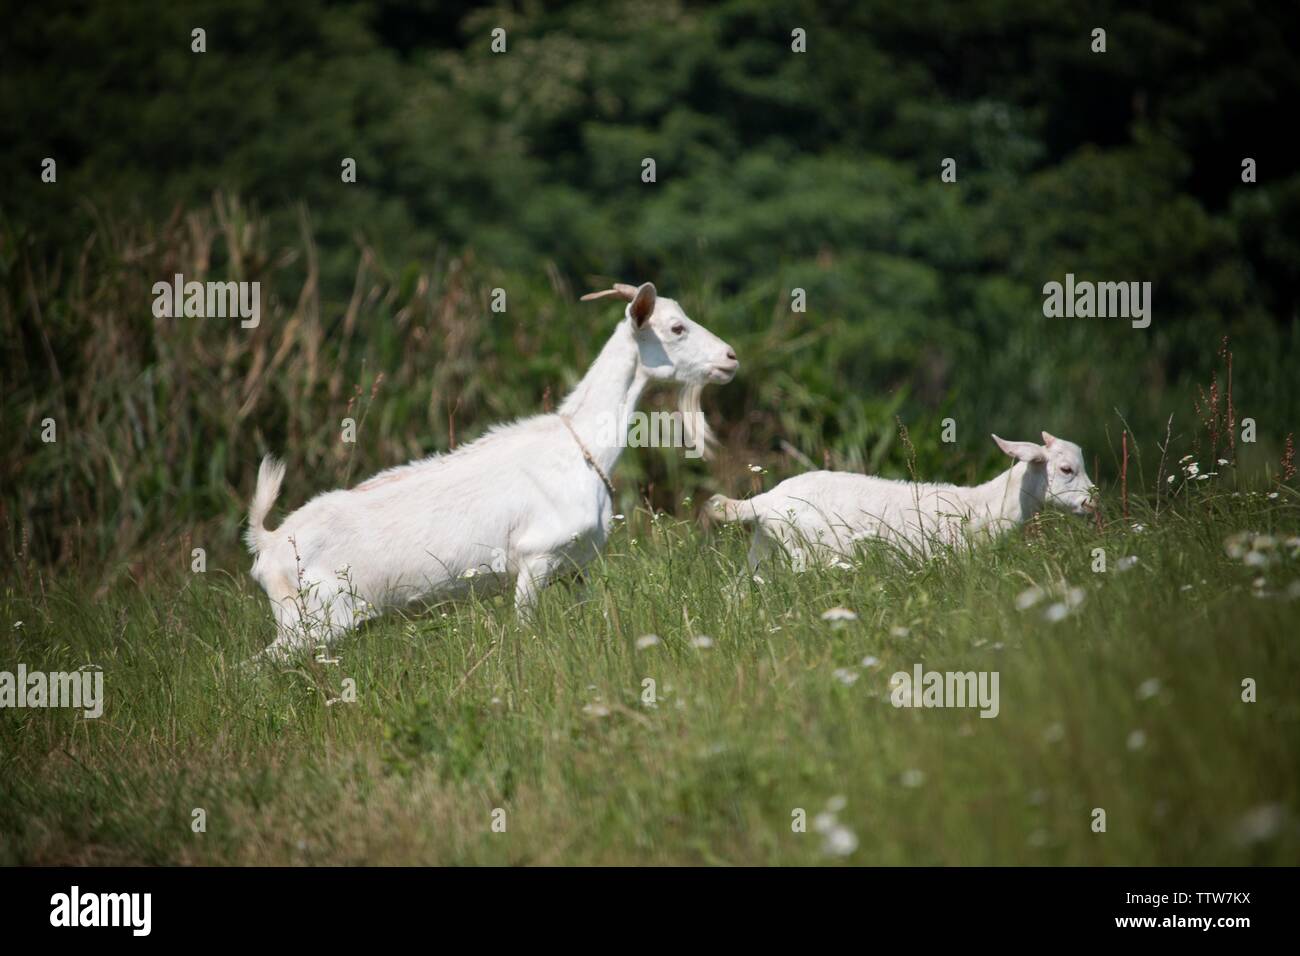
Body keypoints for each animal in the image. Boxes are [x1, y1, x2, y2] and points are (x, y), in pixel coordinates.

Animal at [245, 281, 738, 660]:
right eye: (676, 328)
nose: (730, 357)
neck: (582, 447)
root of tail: (267, 543)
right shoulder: (536, 557)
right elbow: (524, 628)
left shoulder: (577, 568)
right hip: (309, 621)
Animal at [708, 433, 1094, 571]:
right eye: (1066, 469)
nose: (1092, 504)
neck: (981, 506)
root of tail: (763, 500)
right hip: (810, 551)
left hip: (764, 550)